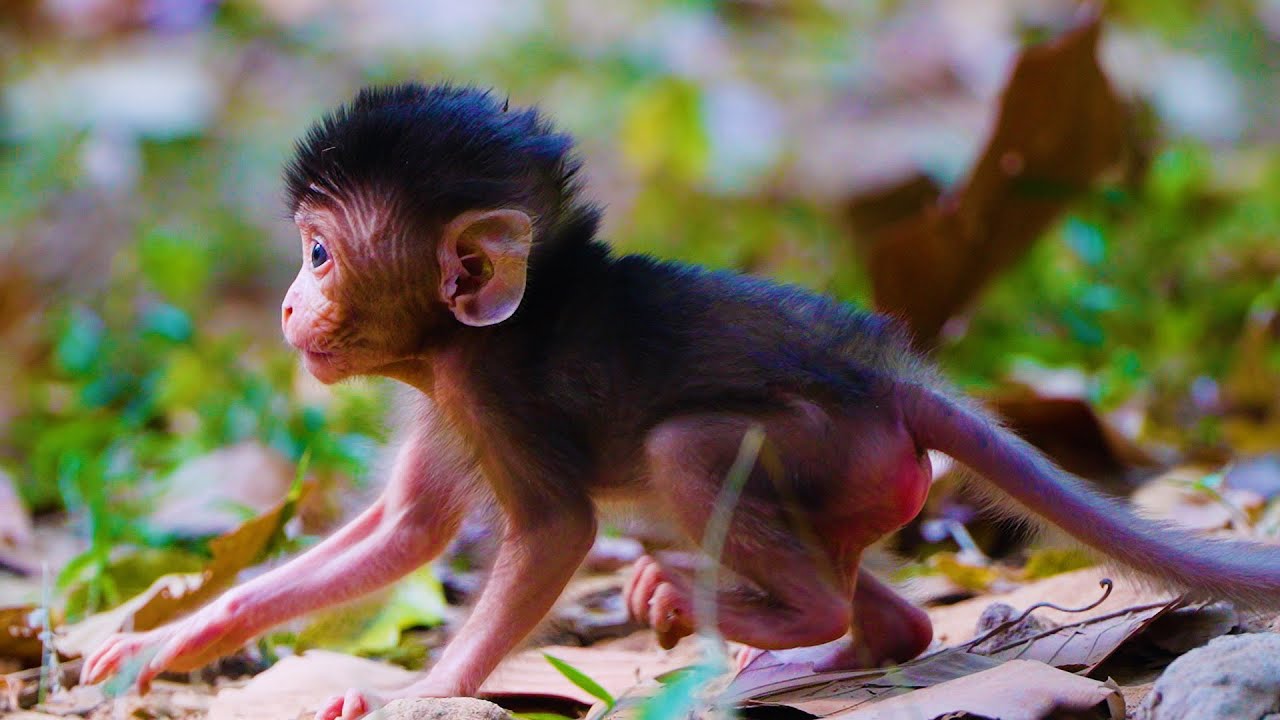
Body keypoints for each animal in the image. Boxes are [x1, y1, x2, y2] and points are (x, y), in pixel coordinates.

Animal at [81, 83, 1280, 720]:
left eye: (321, 253)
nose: (290, 304)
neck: (474, 334)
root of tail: (892, 377)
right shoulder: (445, 397)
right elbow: (405, 532)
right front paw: (169, 638)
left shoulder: (492, 394)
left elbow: (553, 531)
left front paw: (422, 693)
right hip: (867, 483)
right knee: (872, 600)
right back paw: (836, 646)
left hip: (835, 448)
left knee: (688, 452)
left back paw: (775, 618)